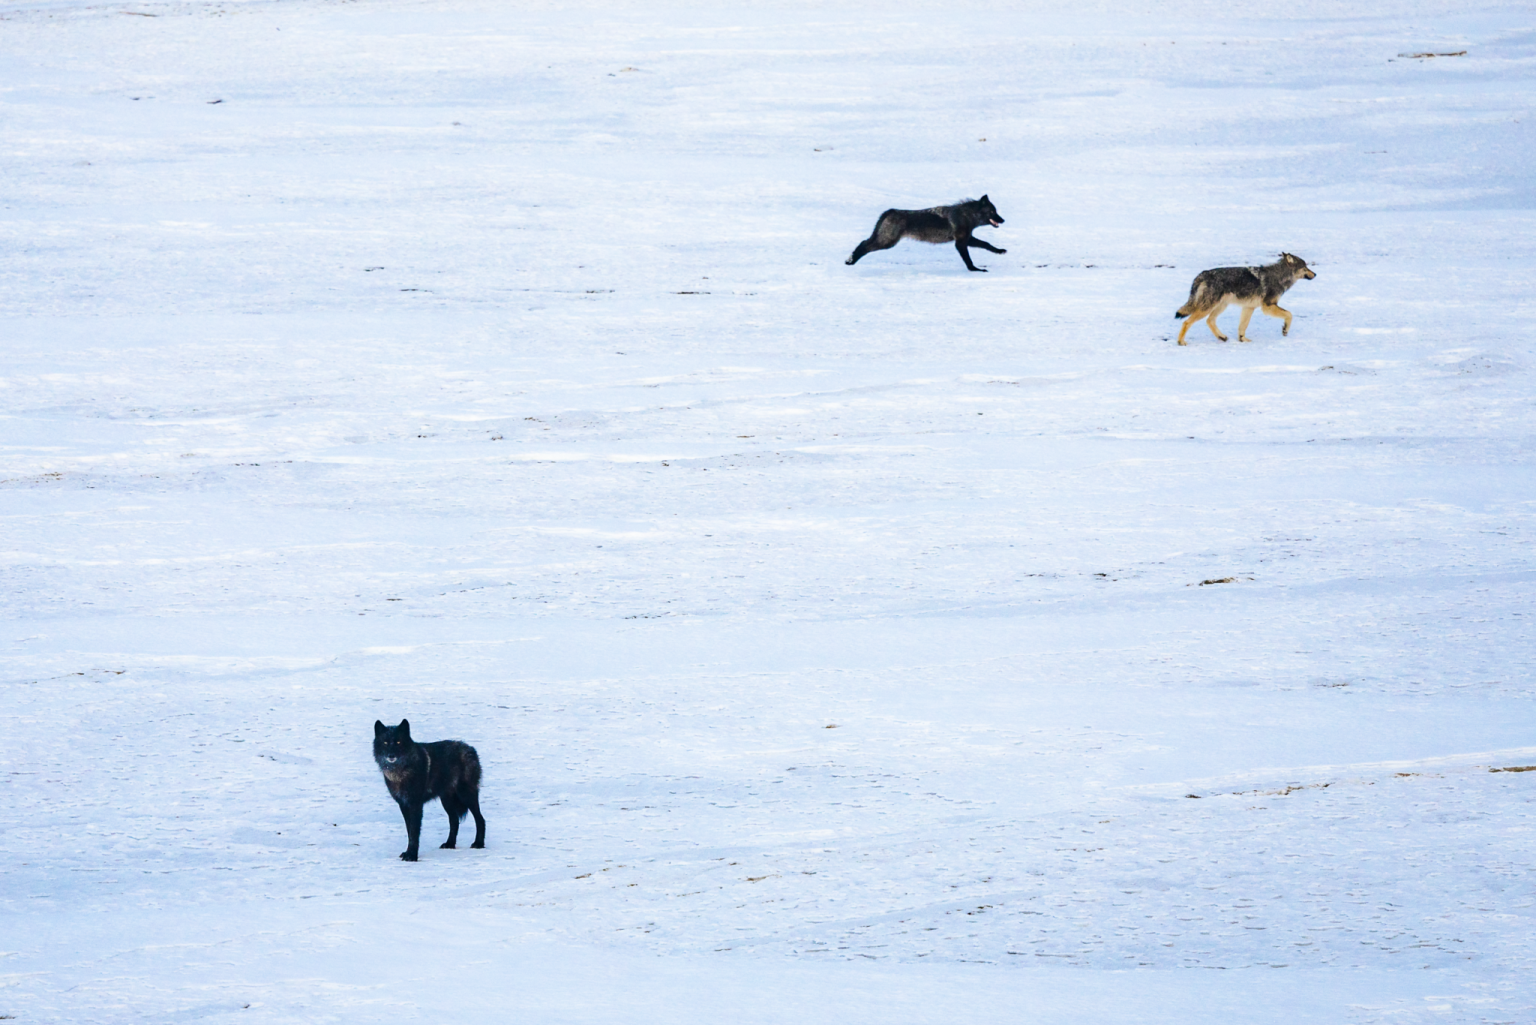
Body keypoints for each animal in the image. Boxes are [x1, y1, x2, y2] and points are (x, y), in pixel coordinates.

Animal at [373, 719, 485, 861]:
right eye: (385, 742)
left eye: (398, 742)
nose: (391, 755)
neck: (401, 771)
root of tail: (470, 748)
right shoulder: (403, 804)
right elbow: (409, 831)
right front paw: (408, 853)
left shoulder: (415, 804)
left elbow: (414, 832)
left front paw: (412, 855)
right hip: (447, 800)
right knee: (454, 820)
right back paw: (450, 844)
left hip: (466, 795)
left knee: (480, 819)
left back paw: (479, 843)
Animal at [846, 196, 1006, 272]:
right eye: (992, 211)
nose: (1003, 220)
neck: (967, 215)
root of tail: (890, 211)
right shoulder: (960, 243)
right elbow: (968, 260)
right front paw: (975, 270)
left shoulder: (967, 239)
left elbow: (986, 244)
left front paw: (999, 251)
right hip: (887, 242)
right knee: (864, 245)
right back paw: (851, 261)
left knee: (864, 242)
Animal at [1175, 253, 1316, 345]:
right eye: (1305, 267)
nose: (1315, 274)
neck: (1280, 276)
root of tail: (1202, 274)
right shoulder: (1267, 306)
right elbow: (1289, 314)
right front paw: (1285, 330)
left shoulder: (1249, 307)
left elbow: (1243, 326)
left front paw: (1243, 340)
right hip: (1208, 308)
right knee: (1186, 322)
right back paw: (1181, 342)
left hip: (1220, 306)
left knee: (1209, 321)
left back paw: (1222, 337)